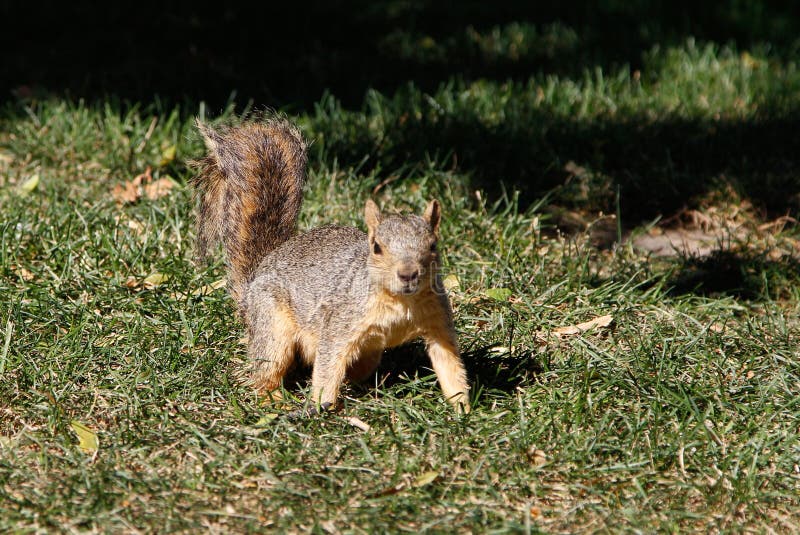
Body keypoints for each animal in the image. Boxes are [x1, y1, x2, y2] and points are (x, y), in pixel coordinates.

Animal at [191, 117, 469, 414]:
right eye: (377, 247)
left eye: (433, 245)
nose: (408, 274)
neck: (401, 303)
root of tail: (256, 277)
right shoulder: (339, 323)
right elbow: (328, 365)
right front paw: (319, 404)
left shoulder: (437, 321)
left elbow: (449, 363)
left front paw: (462, 407)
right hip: (272, 325)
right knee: (267, 368)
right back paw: (273, 399)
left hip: (368, 353)